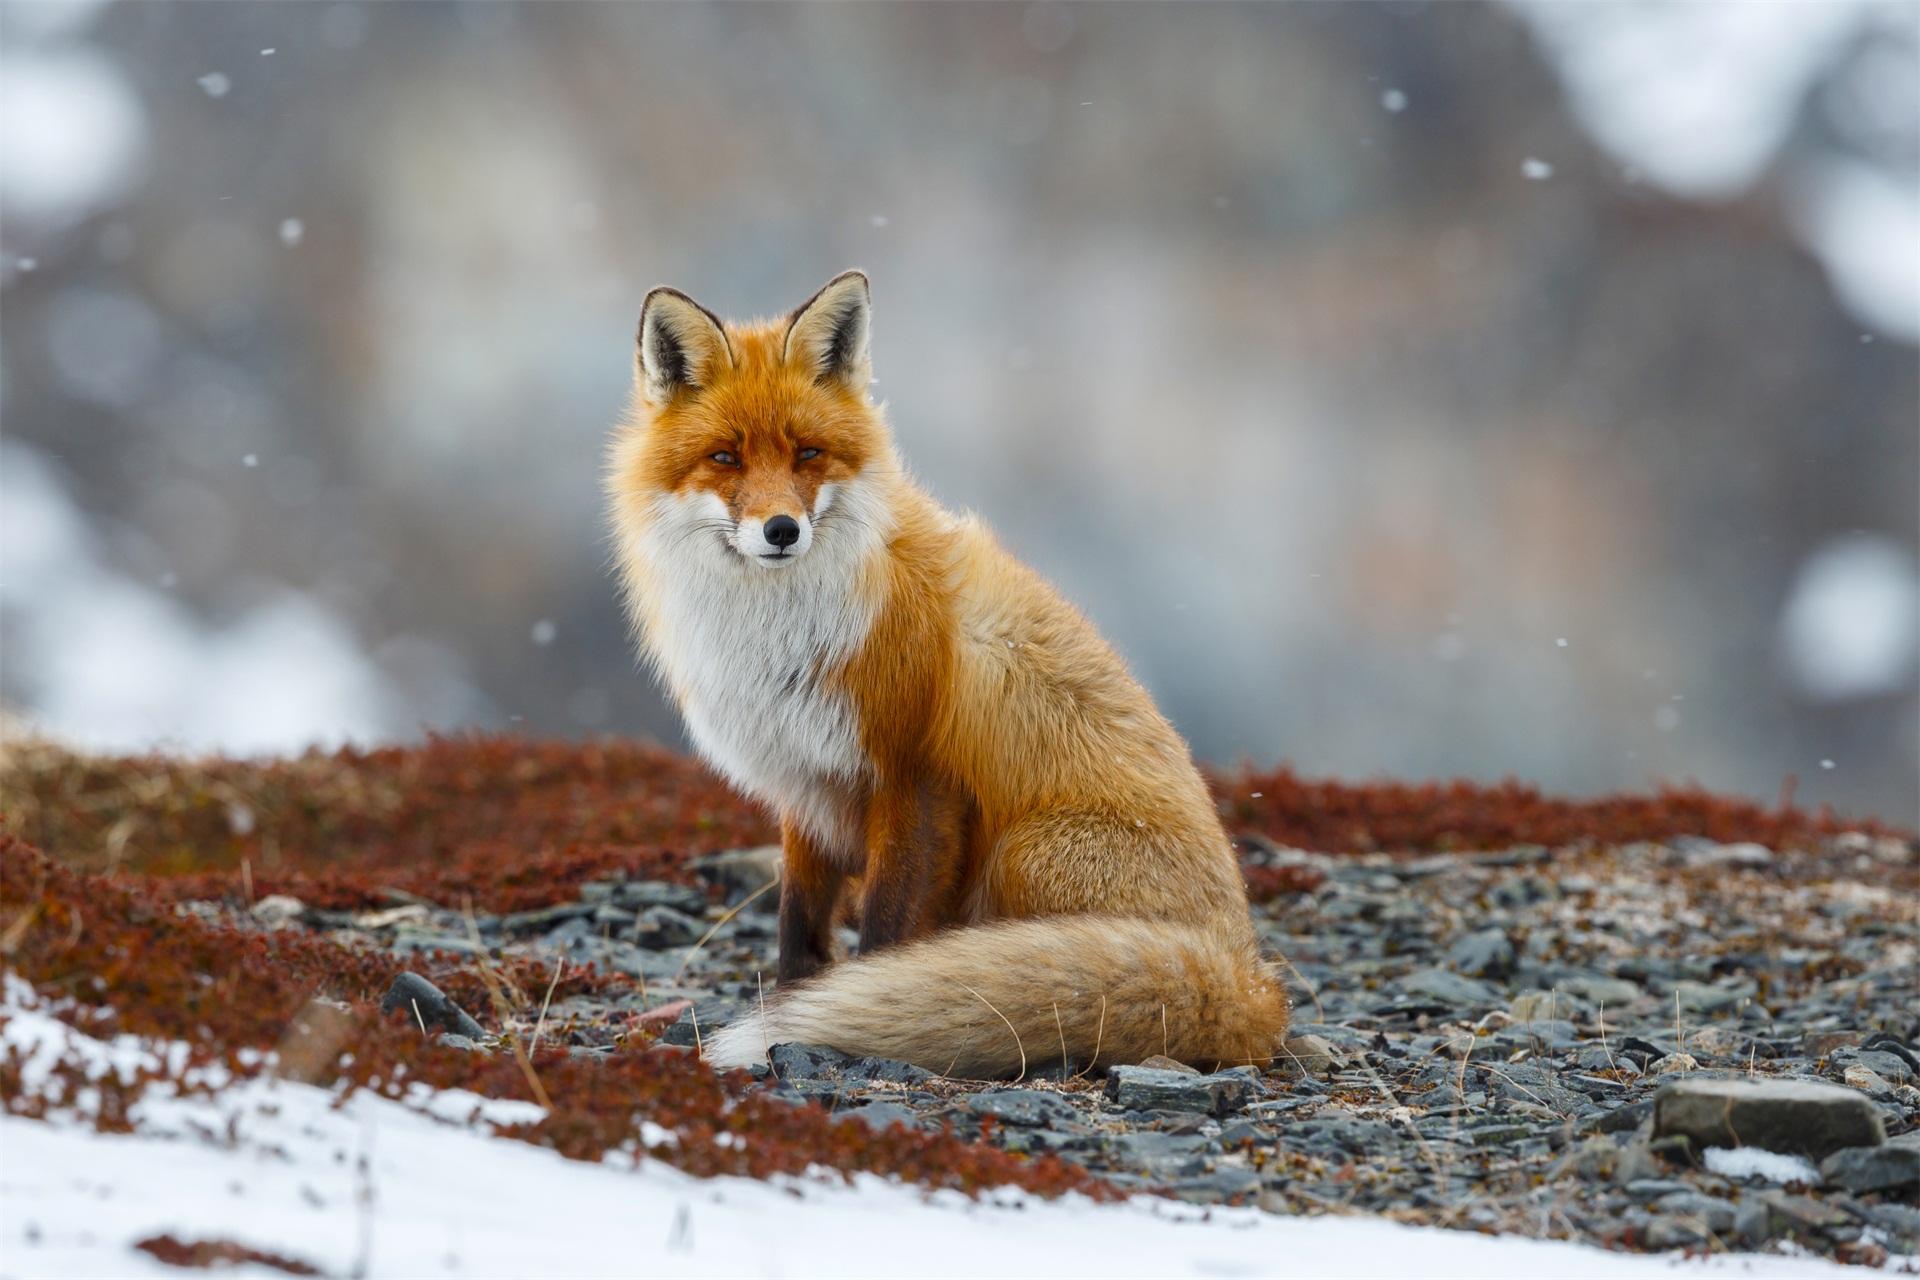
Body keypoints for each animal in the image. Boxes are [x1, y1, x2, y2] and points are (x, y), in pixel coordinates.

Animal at [605, 270, 1290, 1077]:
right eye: (726, 457)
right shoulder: (806, 780)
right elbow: (799, 922)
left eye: (808, 453)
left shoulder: (917, 777)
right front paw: (793, 1005)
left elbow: (884, 930)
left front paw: (849, 1011)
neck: (782, 638)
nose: (781, 531)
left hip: (1025, 853)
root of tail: (1255, 981)